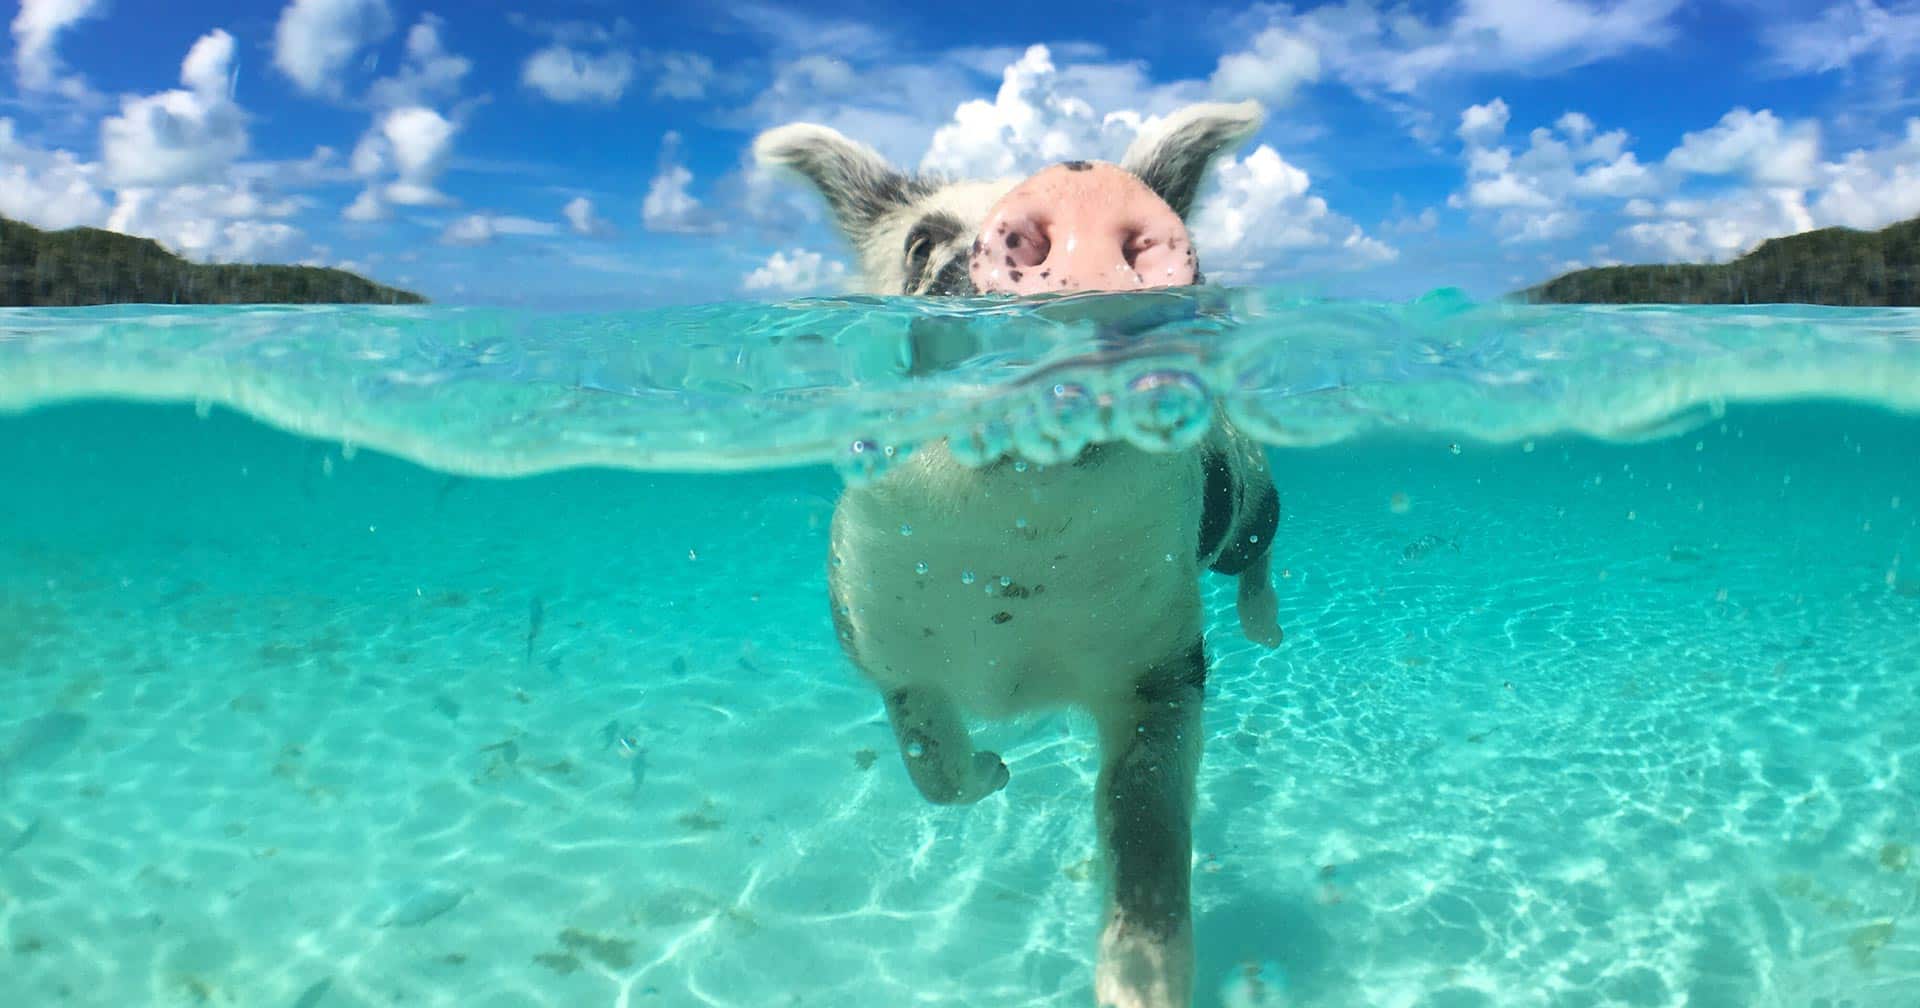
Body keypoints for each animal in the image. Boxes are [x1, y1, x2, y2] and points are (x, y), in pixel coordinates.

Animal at [754, 100, 1283, 1008]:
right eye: (922, 245)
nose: (1082, 190)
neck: (1018, 560)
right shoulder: (879, 636)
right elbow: (931, 766)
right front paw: (998, 772)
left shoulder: (1165, 663)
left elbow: (1146, 823)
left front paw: (1140, 988)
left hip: (1250, 489)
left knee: (1257, 550)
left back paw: (1267, 630)